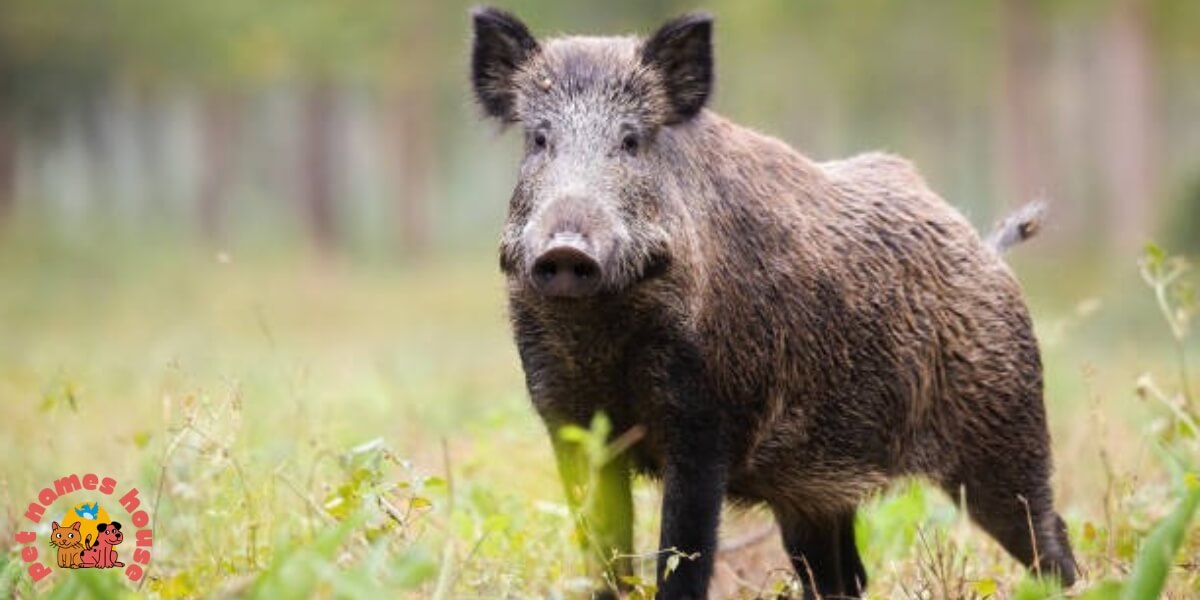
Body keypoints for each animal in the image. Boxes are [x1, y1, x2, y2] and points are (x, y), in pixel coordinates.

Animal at [469, 7, 1078, 599]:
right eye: (539, 139)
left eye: (631, 141)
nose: (566, 249)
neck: (600, 331)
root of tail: (988, 249)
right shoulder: (569, 425)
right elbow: (602, 557)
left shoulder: (705, 423)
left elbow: (683, 558)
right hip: (815, 491)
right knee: (843, 578)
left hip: (1007, 432)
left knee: (1051, 540)